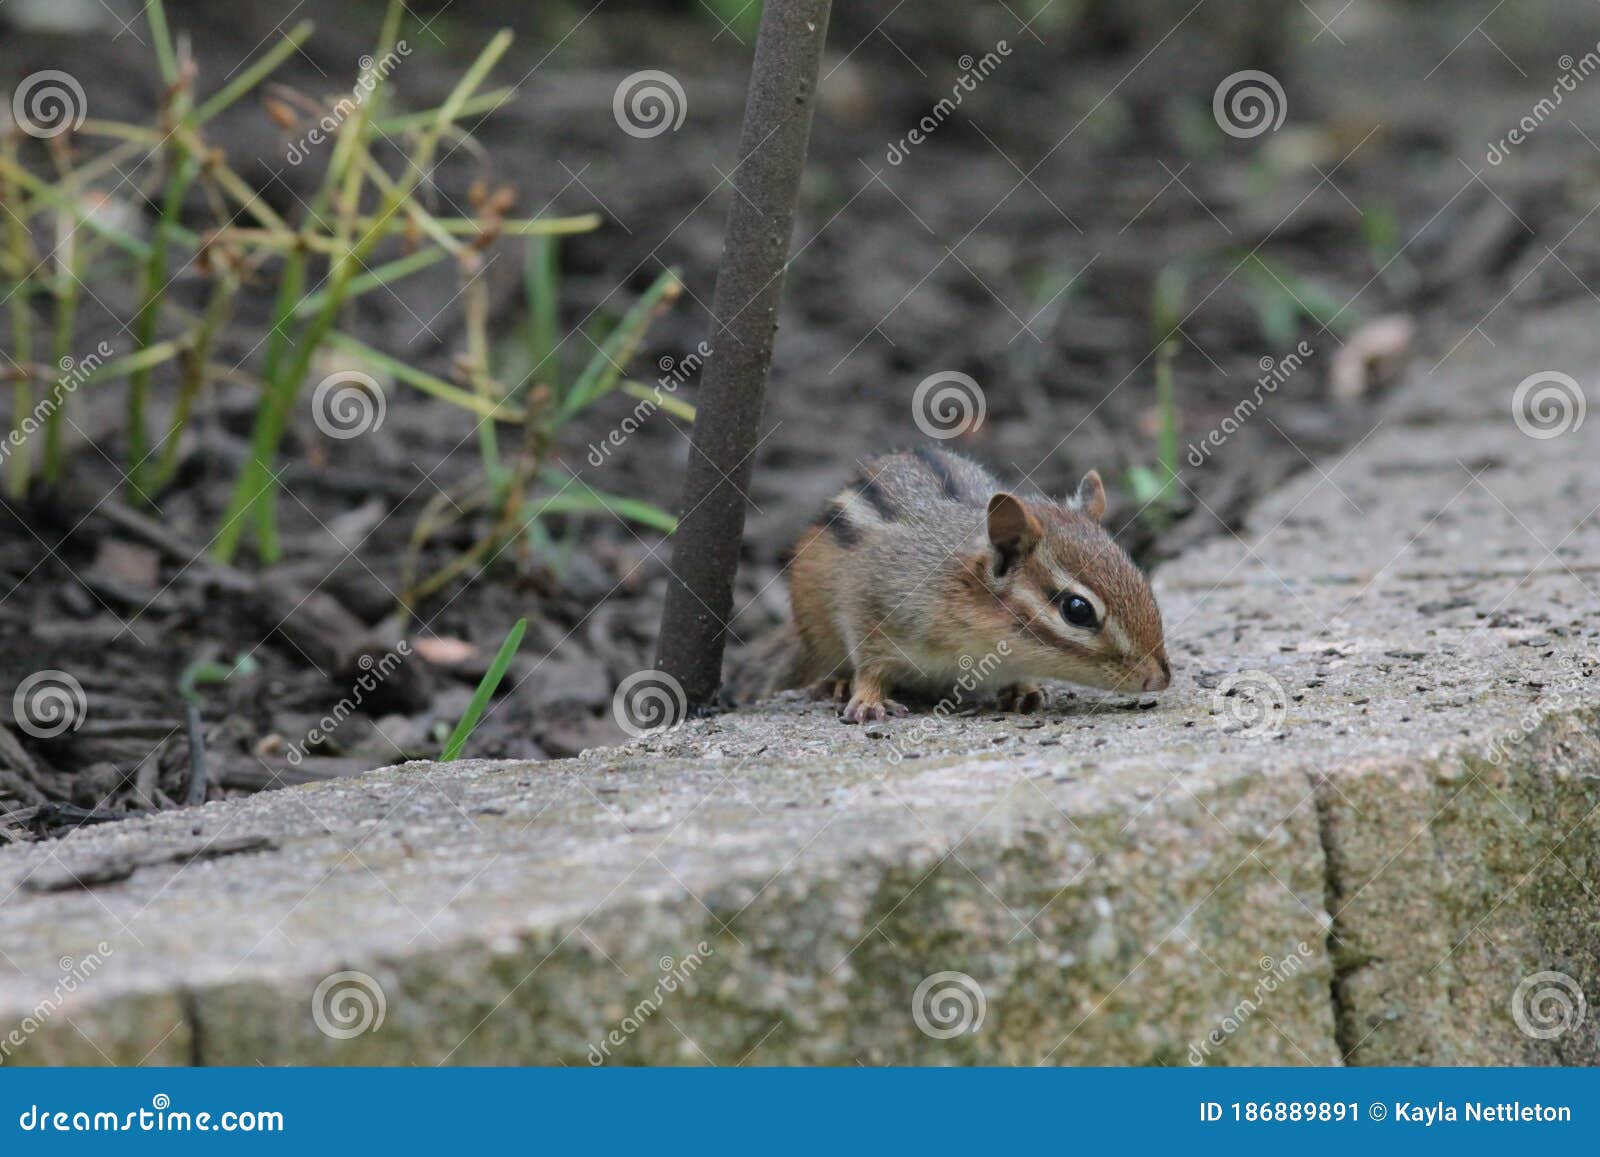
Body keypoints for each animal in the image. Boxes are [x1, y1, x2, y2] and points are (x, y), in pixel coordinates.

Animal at [731, 446, 1171, 723]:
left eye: (1139, 574)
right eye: (1077, 610)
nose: (1160, 678)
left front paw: (1025, 688)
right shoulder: (872, 603)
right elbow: (871, 662)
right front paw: (868, 700)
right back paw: (836, 682)